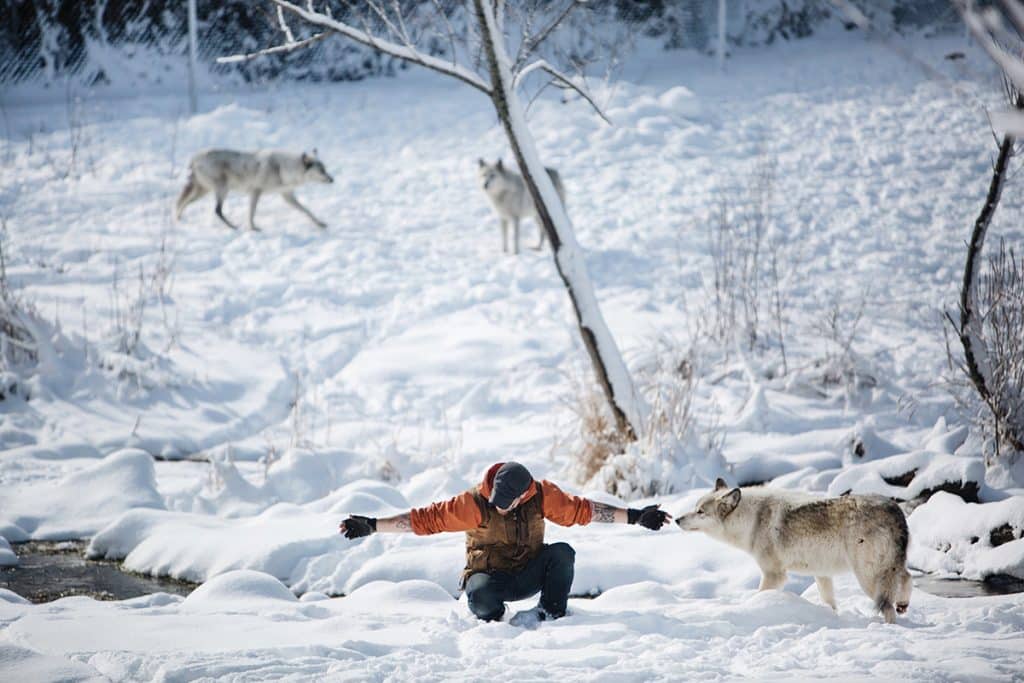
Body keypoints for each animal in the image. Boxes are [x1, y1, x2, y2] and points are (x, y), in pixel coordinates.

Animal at [175, 149, 333, 231]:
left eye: (325, 169)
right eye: (322, 171)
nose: (332, 180)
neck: (283, 169)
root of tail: (195, 158)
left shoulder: (287, 196)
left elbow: (306, 211)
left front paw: (320, 224)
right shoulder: (256, 192)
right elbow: (251, 213)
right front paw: (253, 228)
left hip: (203, 191)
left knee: (183, 202)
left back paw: (178, 218)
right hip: (222, 190)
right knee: (217, 210)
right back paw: (233, 227)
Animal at [676, 479, 912, 623]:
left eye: (700, 512)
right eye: (695, 508)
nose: (677, 519)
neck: (753, 520)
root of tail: (893, 508)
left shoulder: (774, 574)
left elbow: (760, 594)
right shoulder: (822, 573)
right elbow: (830, 603)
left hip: (868, 578)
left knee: (888, 606)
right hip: (888, 569)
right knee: (907, 577)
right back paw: (903, 604)